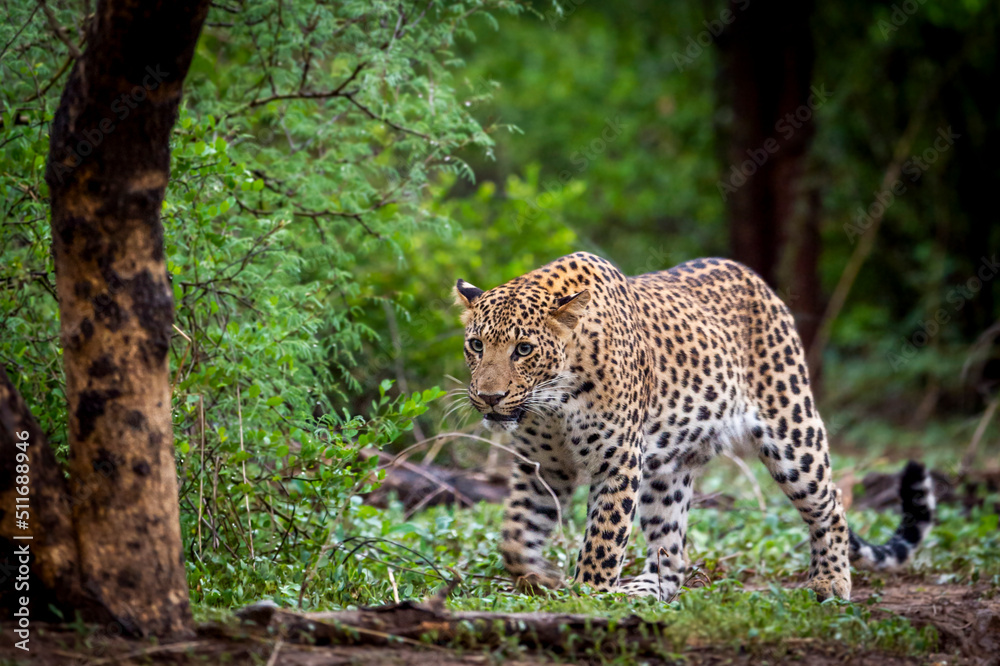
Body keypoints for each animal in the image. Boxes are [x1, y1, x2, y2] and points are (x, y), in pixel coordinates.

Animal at [453, 251, 935, 601]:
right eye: (475, 345)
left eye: (524, 349)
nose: (489, 397)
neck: (553, 403)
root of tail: (752, 276)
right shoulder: (542, 466)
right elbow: (516, 533)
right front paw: (538, 578)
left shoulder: (618, 462)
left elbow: (603, 540)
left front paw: (586, 597)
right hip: (668, 472)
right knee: (673, 554)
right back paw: (641, 591)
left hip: (792, 430)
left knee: (831, 503)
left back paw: (830, 582)